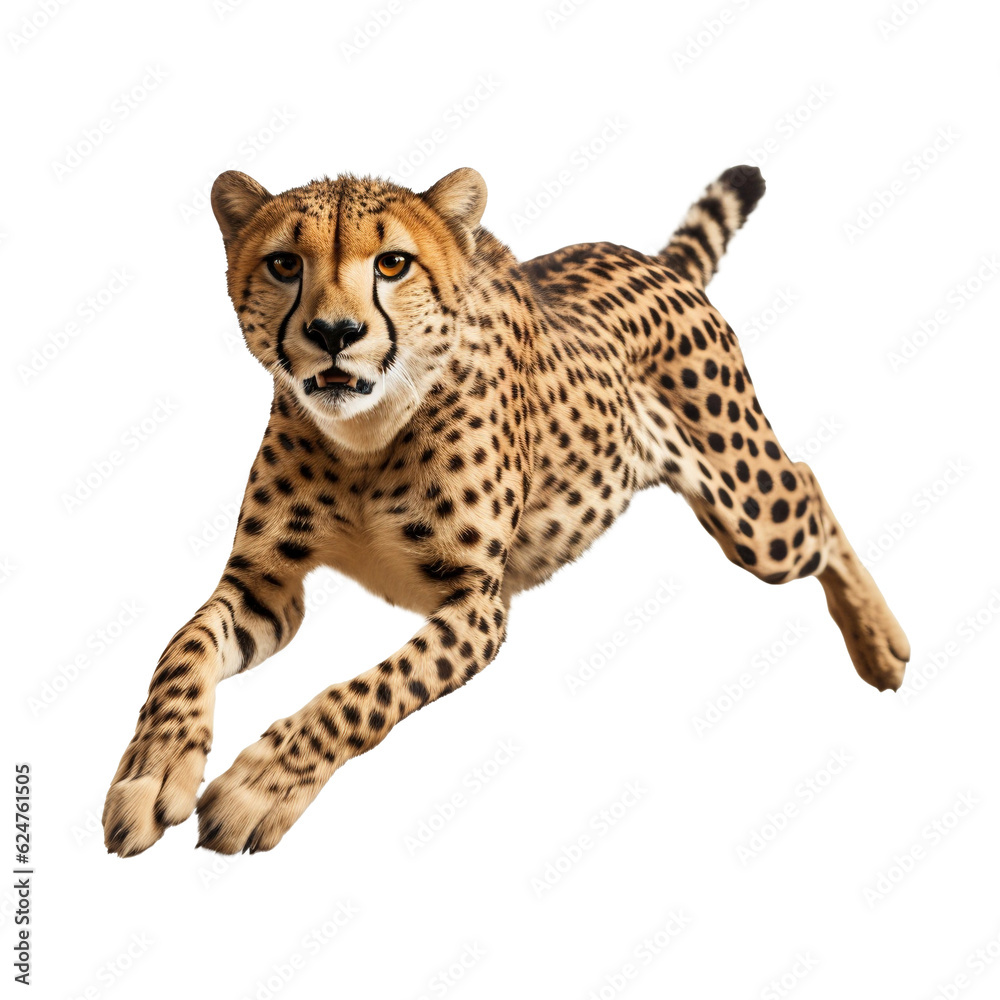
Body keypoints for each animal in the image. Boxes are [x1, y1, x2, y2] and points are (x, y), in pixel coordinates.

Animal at [102, 163, 910, 857]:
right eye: (283, 264)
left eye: (392, 264)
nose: (335, 334)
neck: (368, 437)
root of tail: (649, 259)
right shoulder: (267, 584)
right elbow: (183, 651)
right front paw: (153, 771)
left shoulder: (478, 605)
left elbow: (361, 696)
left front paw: (258, 788)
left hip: (756, 518)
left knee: (807, 486)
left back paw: (882, 644)